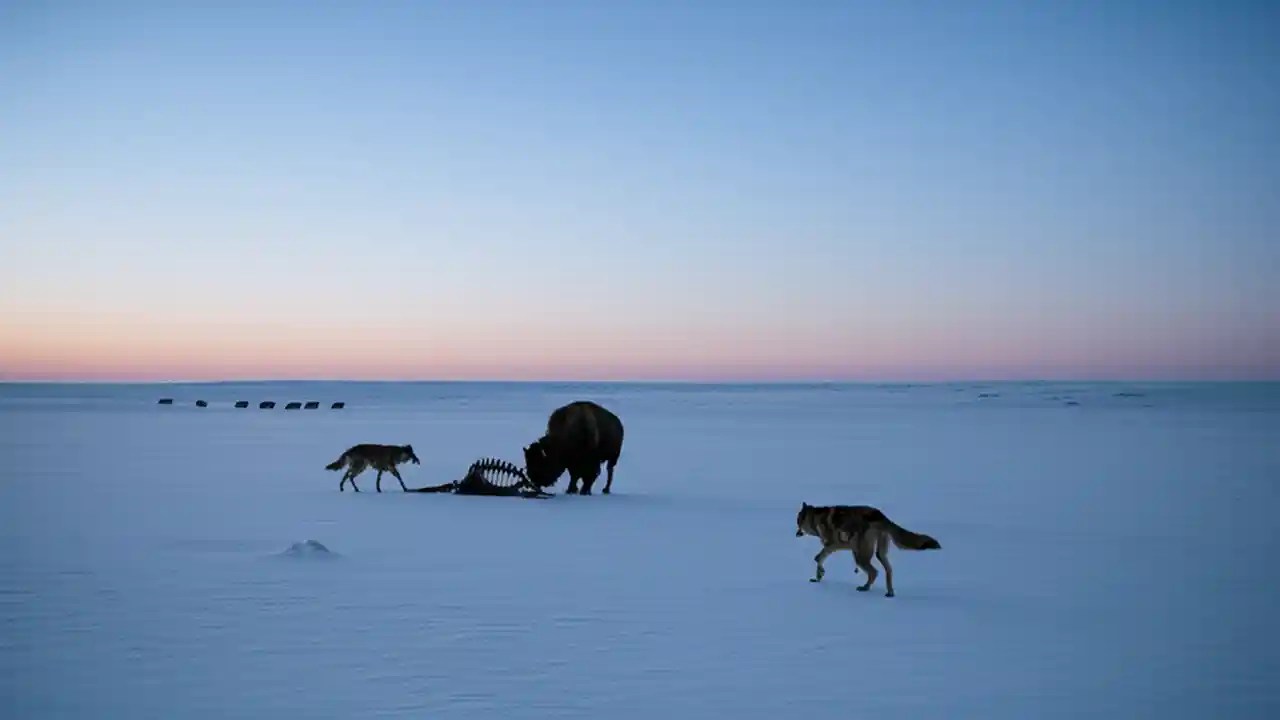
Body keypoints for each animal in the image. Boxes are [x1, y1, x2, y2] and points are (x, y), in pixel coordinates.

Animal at [794, 502, 941, 597]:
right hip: (878, 554)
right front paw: (818, 576)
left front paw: (819, 574)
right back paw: (889, 593)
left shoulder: (835, 545)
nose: (796, 534)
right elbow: (819, 558)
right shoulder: (834, 546)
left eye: (798, 522)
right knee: (888, 570)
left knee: (874, 572)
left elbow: (818, 558)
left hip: (859, 556)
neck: (815, 519)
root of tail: (880, 515)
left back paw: (865, 588)